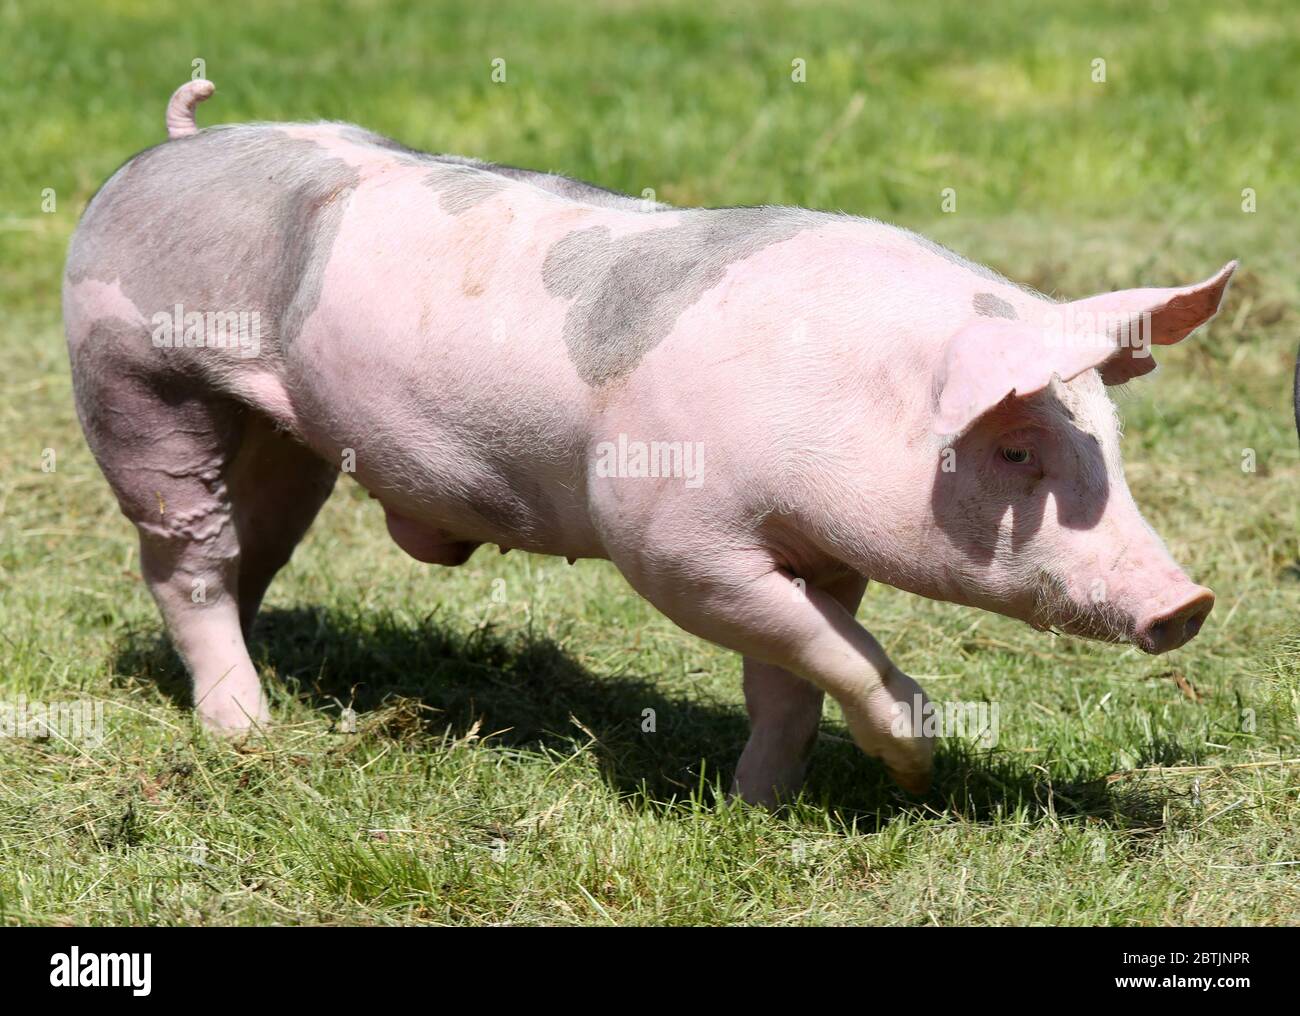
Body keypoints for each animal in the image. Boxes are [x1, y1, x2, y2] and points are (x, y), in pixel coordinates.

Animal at [64, 81, 1236, 805]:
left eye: (1107, 441)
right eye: (1016, 452)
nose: (1187, 600)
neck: (838, 390)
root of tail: (170, 149)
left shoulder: (823, 550)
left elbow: (793, 673)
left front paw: (758, 806)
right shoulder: (670, 539)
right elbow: (814, 643)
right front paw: (914, 762)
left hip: (286, 432)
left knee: (254, 548)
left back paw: (270, 690)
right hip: (133, 377)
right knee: (184, 555)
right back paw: (246, 729)